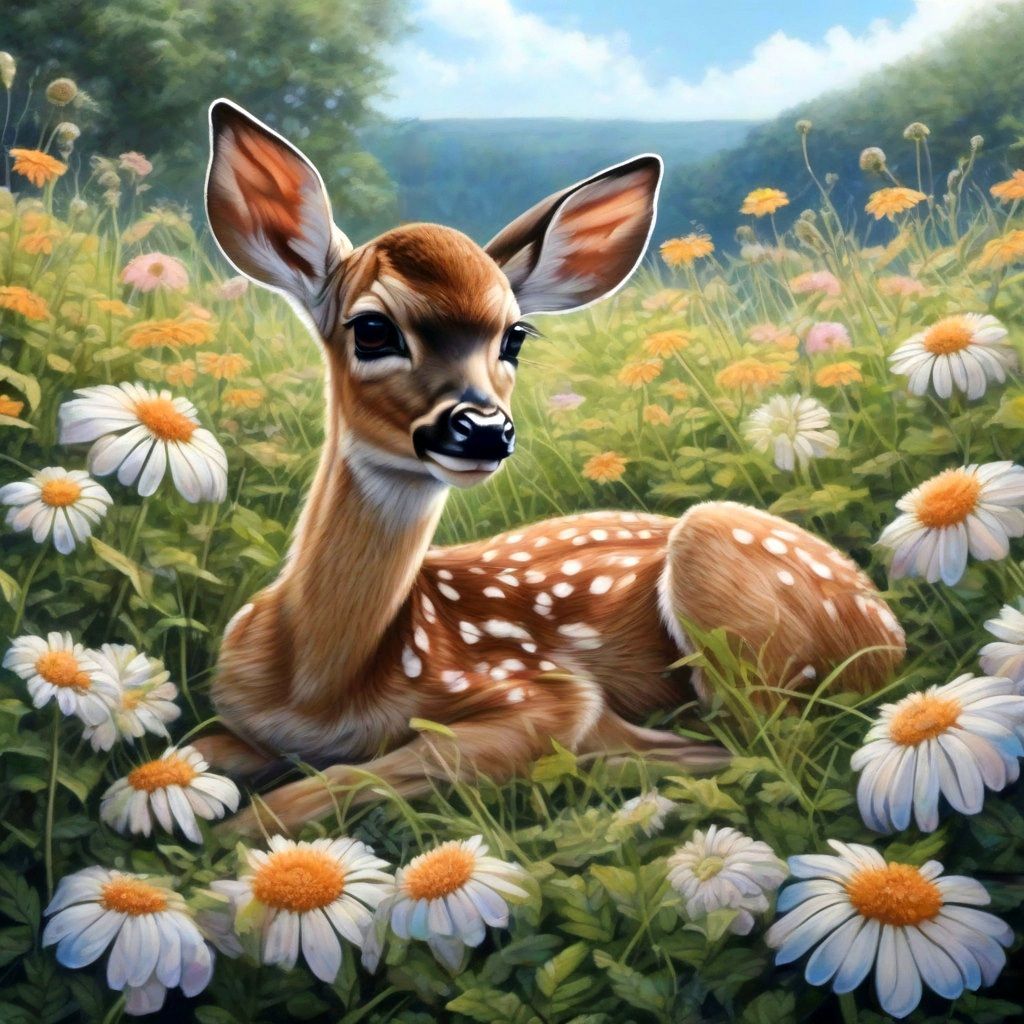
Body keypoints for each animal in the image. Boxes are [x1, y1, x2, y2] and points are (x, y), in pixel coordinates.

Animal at [194, 99, 906, 835]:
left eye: (514, 337)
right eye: (371, 329)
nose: (484, 429)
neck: (320, 685)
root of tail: (889, 631)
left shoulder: (537, 691)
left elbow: (321, 790)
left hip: (724, 580)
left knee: (772, 744)